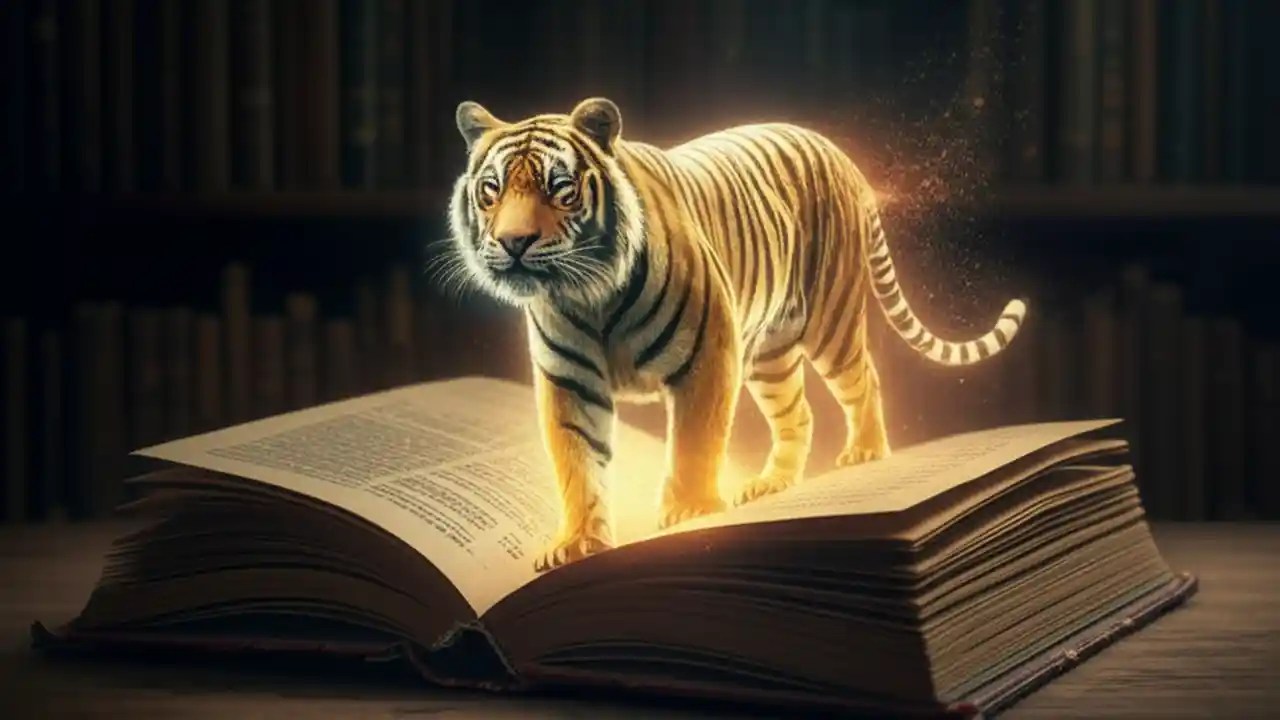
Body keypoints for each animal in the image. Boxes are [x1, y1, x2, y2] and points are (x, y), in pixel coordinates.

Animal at [444, 97, 1028, 572]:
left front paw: (689, 513)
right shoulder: (569, 381)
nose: (514, 242)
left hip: (830, 321)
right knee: (799, 413)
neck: (590, 295)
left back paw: (865, 452)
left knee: (864, 380)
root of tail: (834, 148)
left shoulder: (706, 353)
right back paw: (772, 483)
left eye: (560, 190)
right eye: (492, 190)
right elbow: (577, 463)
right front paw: (577, 542)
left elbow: (695, 443)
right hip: (771, 354)